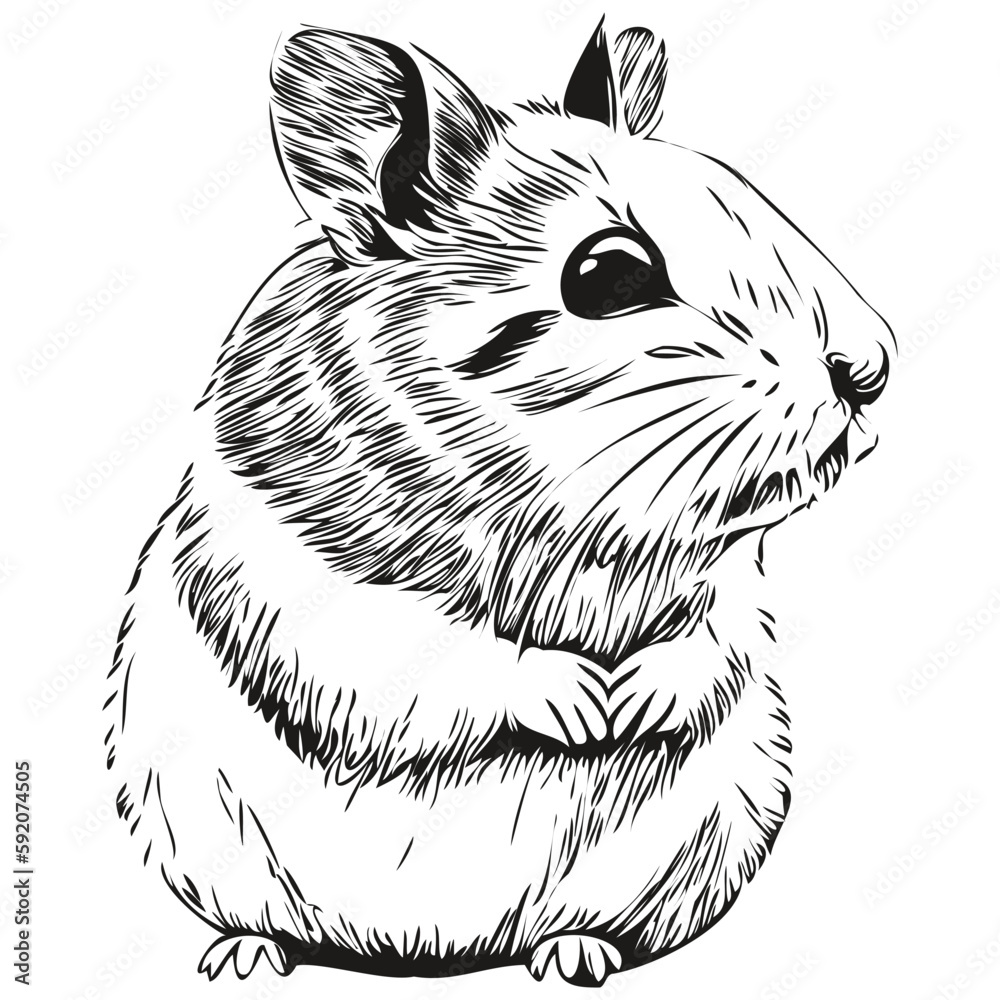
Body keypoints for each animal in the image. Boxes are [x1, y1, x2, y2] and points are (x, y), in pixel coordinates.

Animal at [103, 19, 893, 987]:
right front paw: (588, 706)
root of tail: (426, 952)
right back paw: (248, 959)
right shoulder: (307, 598)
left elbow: (706, 648)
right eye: (610, 273)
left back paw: (575, 956)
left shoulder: (732, 595)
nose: (872, 367)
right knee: (260, 917)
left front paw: (632, 705)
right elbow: (450, 661)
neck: (585, 516)